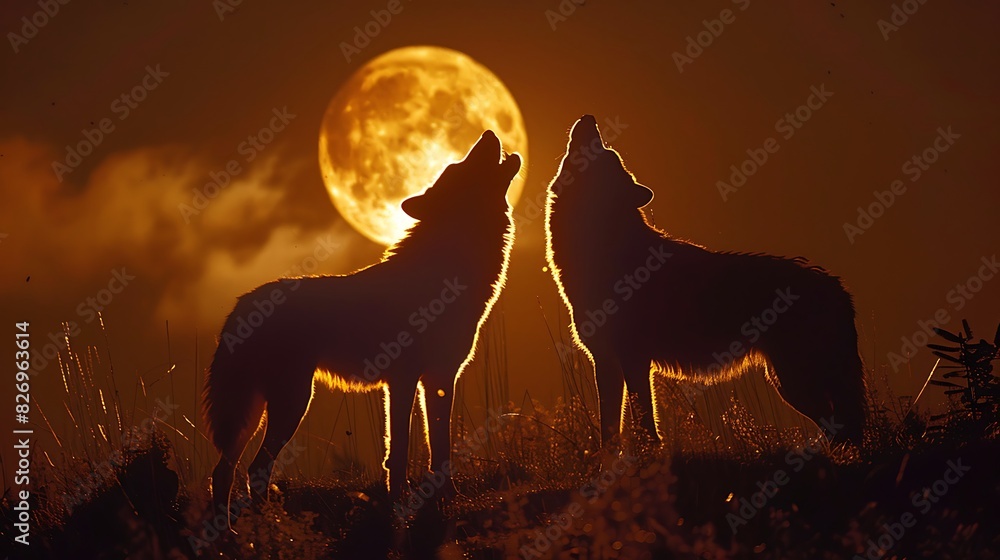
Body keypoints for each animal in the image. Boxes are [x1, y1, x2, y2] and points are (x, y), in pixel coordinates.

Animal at [204, 131, 520, 520]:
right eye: (458, 166)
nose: (488, 134)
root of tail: (241, 305)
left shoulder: (439, 380)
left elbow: (440, 448)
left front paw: (444, 499)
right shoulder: (403, 380)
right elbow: (398, 452)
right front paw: (399, 506)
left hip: (255, 412)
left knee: (225, 471)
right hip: (291, 403)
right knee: (254, 469)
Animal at [545, 116, 866, 446]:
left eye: (607, 154)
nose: (590, 119)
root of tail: (838, 286)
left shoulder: (634, 359)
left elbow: (646, 429)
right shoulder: (606, 362)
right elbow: (608, 436)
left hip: (794, 384)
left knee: (844, 431)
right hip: (791, 383)